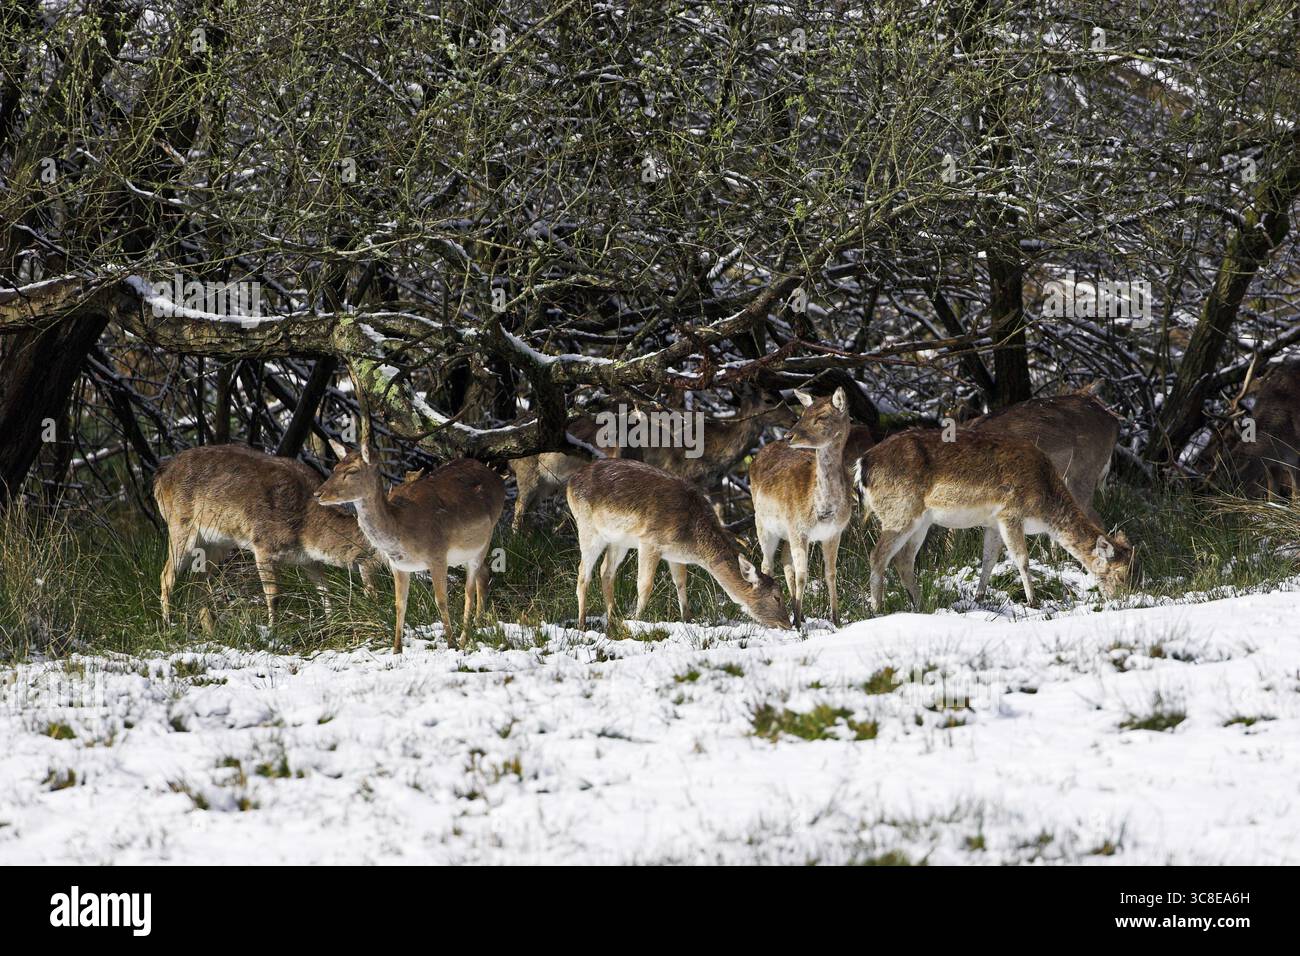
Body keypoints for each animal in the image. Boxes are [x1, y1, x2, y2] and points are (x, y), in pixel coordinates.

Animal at [154, 444, 379, 629]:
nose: (376, 596)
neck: (305, 529)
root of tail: (158, 477)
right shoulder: (262, 544)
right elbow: (273, 595)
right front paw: (272, 632)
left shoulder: (308, 560)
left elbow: (325, 590)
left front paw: (331, 625)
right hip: (180, 526)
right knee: (166, 575)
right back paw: (168, 626)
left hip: (217, 543)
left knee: (197, 583)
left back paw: (211, 632)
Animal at [314, 441, 506, 652]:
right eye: (335, 467)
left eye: (352, 471)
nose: (318, 493)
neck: (401, 528)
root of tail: (498, 477)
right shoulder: (398, 566)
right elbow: (400, 603)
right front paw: (396, 649)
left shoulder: (437, 555)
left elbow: (441, 600)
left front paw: (451, 644)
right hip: (469, 552)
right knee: (484, 573)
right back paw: (478, 625)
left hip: (487, 536)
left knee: (469, 590)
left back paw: (464, 639)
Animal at [566, 458, 790, 630]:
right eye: (776, 597)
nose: (788, 624)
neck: (692, 541)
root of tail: (569, 482)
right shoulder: (649, 541)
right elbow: (645, 584)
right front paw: (637, 620)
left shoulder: (674, 554)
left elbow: (681, 582)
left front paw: (687, 618)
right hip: (588, 528)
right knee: (583, 572)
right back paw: (582, 624)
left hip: (618, 540)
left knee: (606, 571)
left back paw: (611, 621)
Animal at [749, 388, 854, 627]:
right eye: (804, 412)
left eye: (822, 416)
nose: (789, 436)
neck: (823, 510)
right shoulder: (798, 530)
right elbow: (803, 575)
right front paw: (796, 622)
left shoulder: (835, 532)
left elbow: (830, 573)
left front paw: (836, 620)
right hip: (763, 524)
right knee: (767, 564)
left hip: (786, 533)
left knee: (786, 561)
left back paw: (802, 615)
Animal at [857, 429, 1133, 611]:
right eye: (1119, 574)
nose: (1122, 600)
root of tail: (862, 466)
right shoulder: (1010, 513)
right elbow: (1022, 558)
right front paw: (1033, 601)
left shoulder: (993, 523)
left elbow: (989, 559)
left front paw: (979, 598)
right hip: (899, 512)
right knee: (877, 555)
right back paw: (877, 608)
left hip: (920, 521)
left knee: (903, 559)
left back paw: (920, 603)